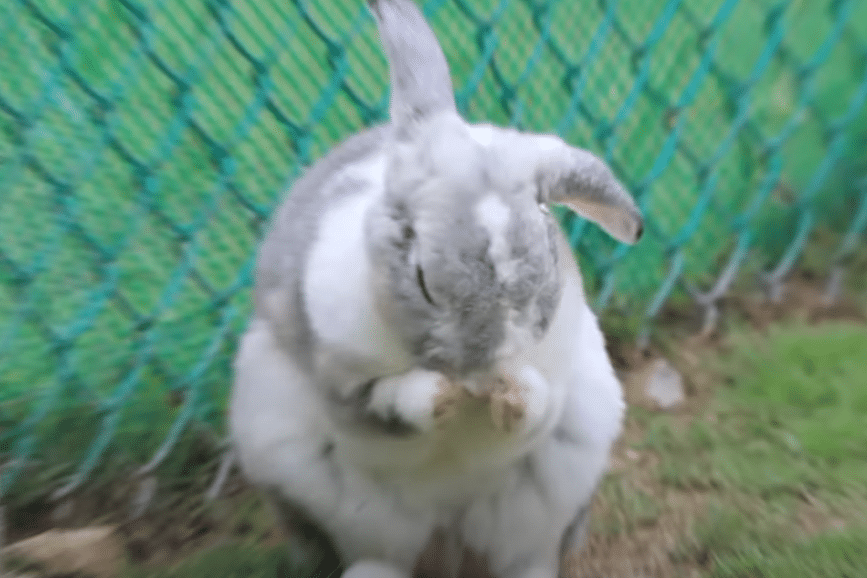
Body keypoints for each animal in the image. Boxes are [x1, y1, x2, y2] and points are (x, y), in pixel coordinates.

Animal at [228, 1, 643, 577]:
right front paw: (440, 393)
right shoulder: (341, 381)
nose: (481, 367)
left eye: (544, 259)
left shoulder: (559, 381)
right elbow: (387, 404)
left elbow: (537, 406)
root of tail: (447, 549)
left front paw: (508, 391)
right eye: (423, 279)